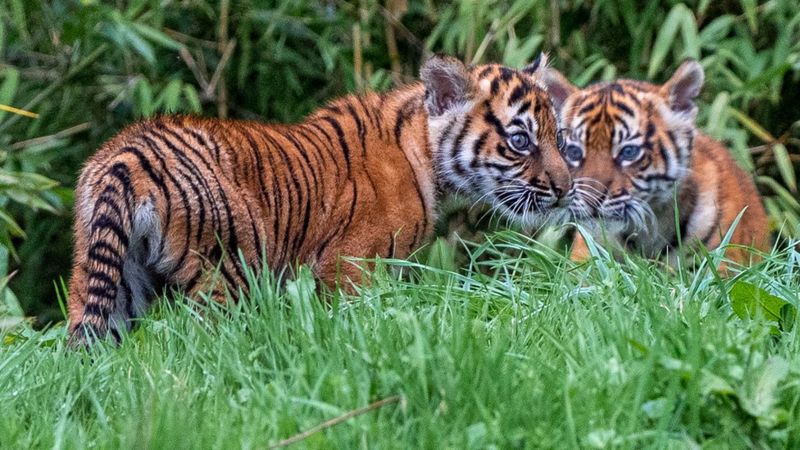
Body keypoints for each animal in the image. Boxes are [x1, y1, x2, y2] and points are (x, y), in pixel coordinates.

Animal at [67, 54, 572, 345]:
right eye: (521, 141)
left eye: (556, 136)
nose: (566, 188)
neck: (426, 155)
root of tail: (127, 156)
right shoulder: (351, 267)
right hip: (225, 270)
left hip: (106, 277)